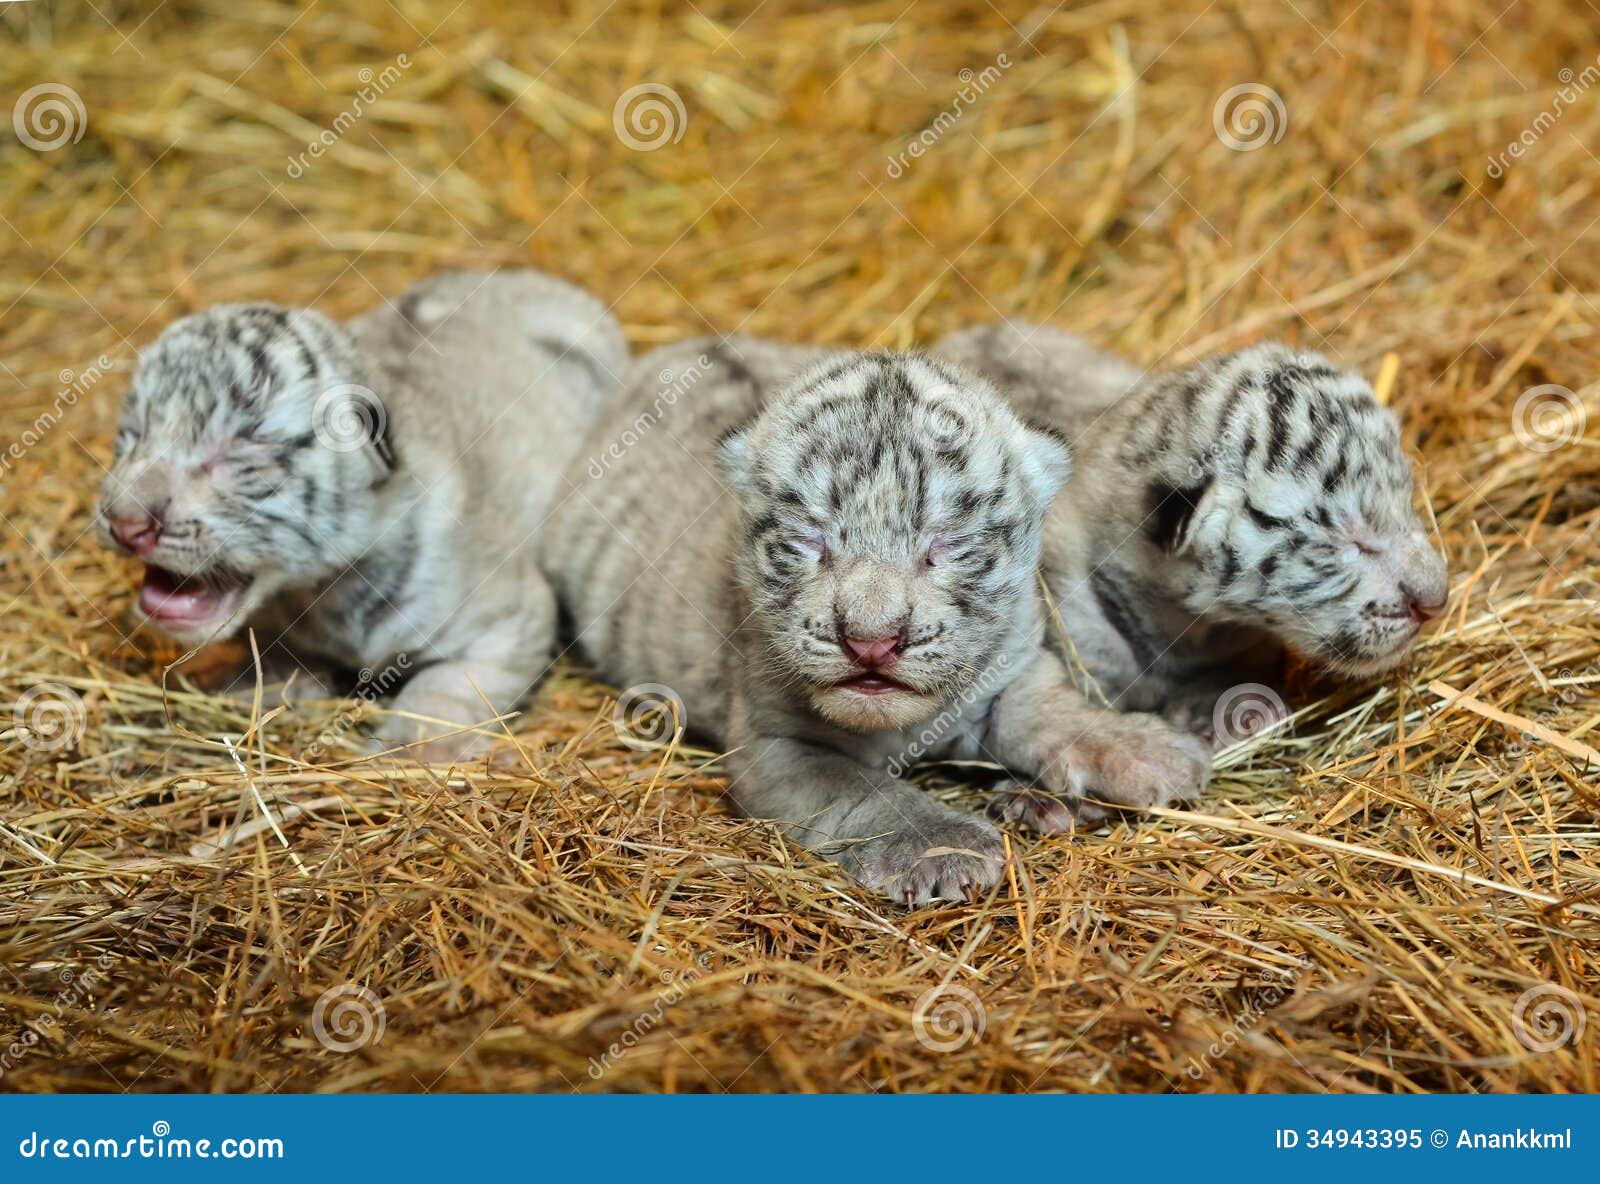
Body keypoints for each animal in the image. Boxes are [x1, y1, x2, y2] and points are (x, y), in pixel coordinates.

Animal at [97, 268, 628, 761]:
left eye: (238, 454)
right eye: (131, 436)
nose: (124, 524)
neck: (322, 595)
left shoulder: (512, 619)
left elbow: (442, 692)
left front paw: (404, 751)